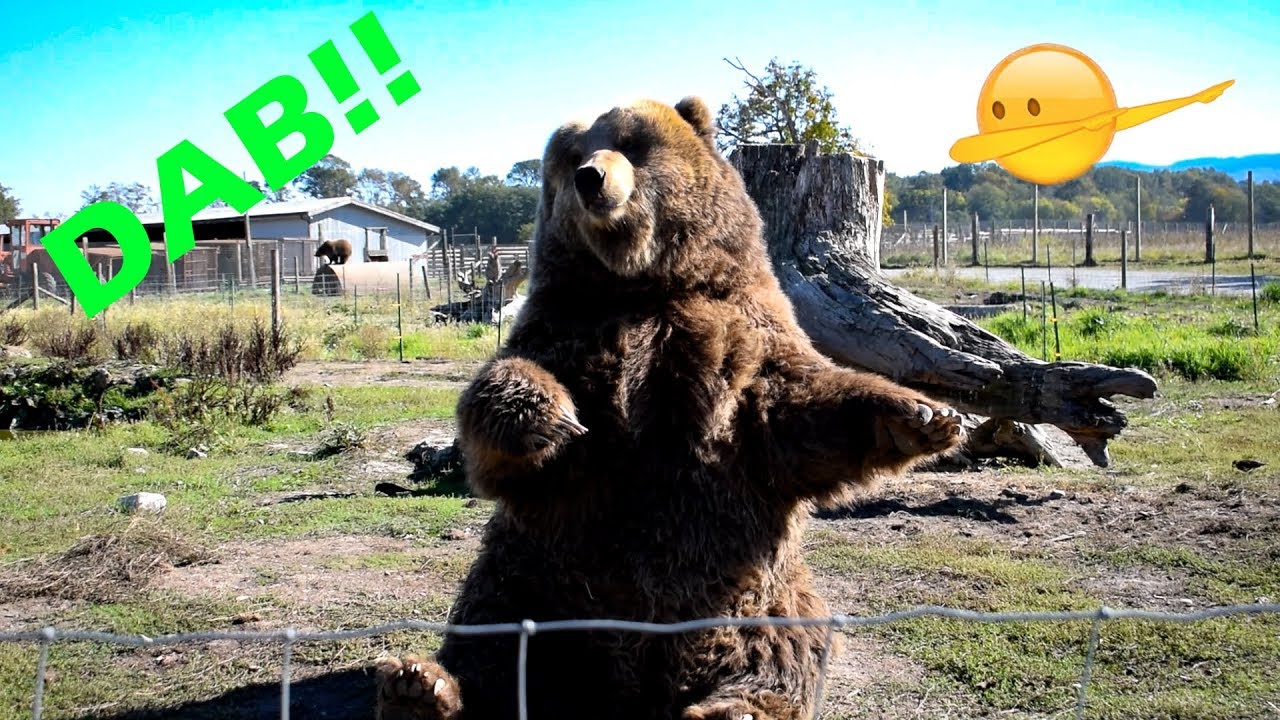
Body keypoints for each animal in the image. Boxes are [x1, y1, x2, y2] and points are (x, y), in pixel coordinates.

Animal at [375, 96, 964, 720]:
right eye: (571, 156)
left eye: (631, 143)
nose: (590, 178)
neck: (642, 285)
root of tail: (629, 691)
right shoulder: (563, 330)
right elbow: (502, 417)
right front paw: (548, 416)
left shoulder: (742, 334)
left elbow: (797, 413)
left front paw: (926, 417)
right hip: (535, 573)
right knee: (495, 635)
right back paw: (424, 685)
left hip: (753, 594)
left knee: (783, 644)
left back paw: (737, 707)